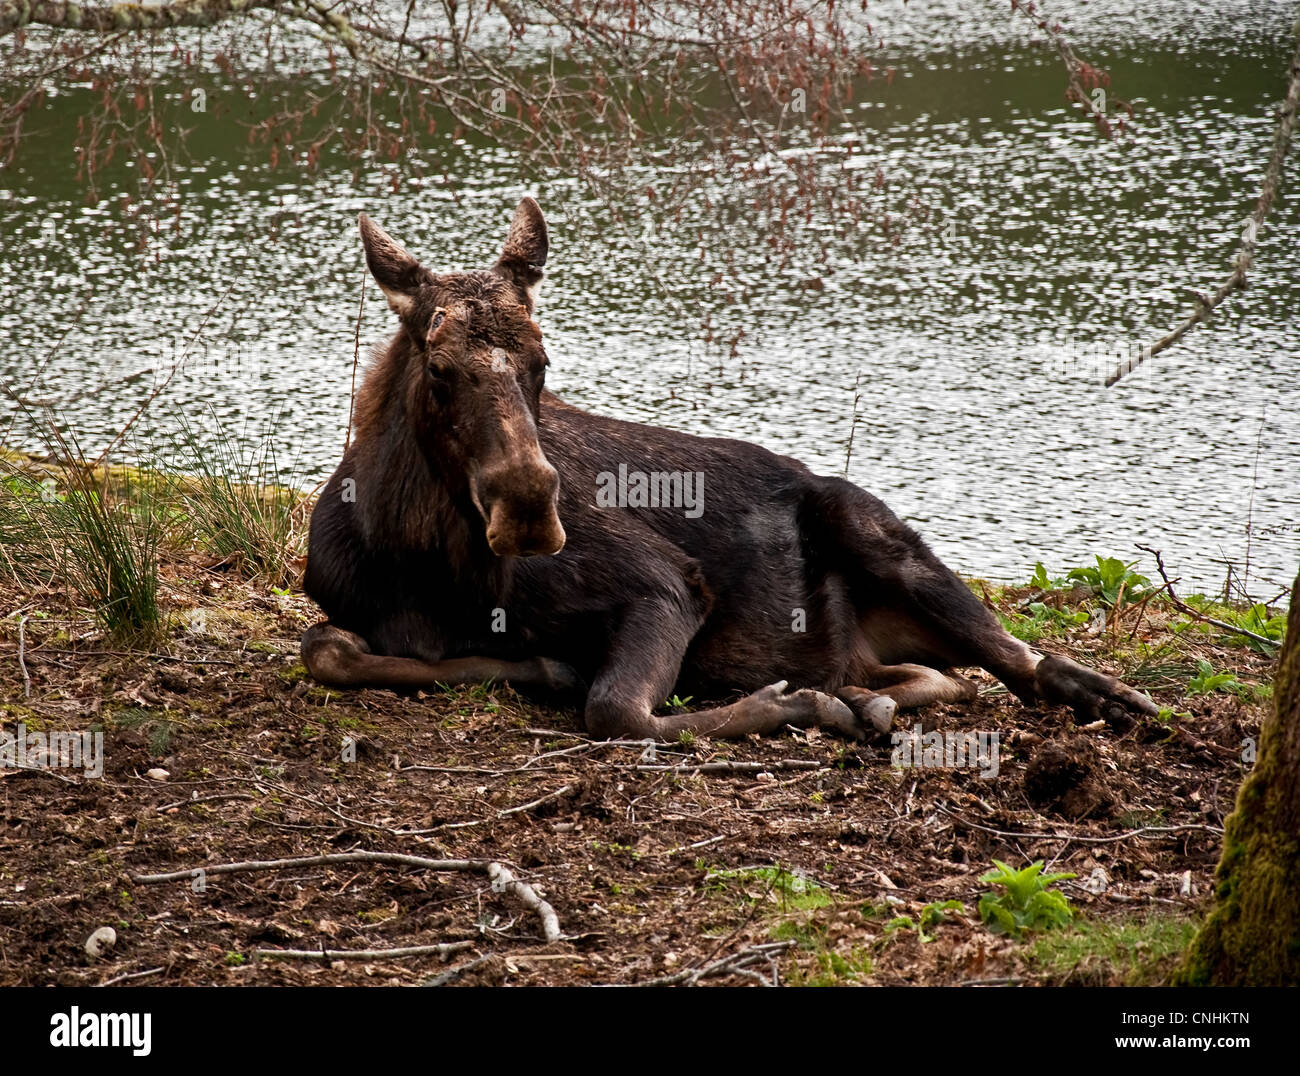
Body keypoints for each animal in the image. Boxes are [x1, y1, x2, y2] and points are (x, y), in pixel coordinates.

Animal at [301, 198, 1158, 742]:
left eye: (544, 362)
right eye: (439, 369)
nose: (529, 509)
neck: (417, 560)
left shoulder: (668, 581)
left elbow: (618, 712)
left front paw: (793, 708)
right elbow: (326, 648)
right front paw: (544, 663)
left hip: (879, 532)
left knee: (1017, 657)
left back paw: (1109, 696)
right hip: (879, 634)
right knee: (935, 673)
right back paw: (867, 694)